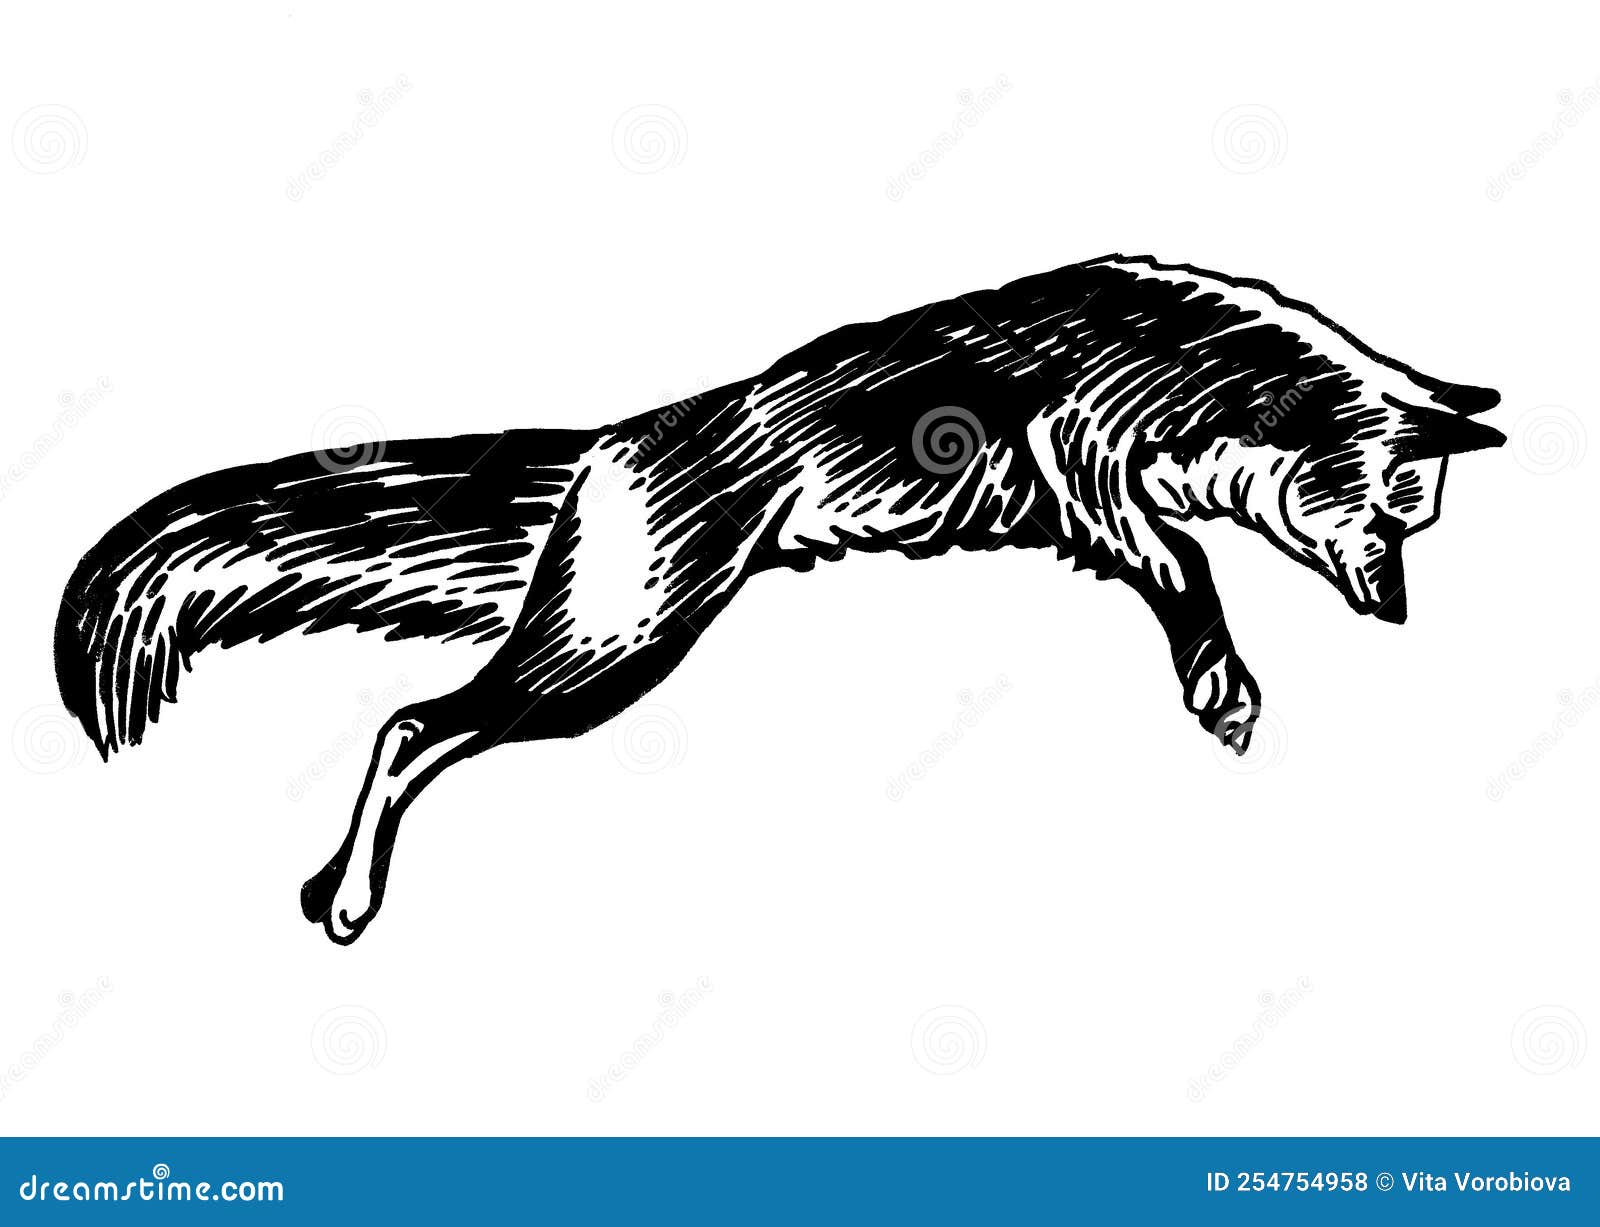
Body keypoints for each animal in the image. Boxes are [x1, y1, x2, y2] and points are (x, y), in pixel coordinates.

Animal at [54, 255, 1504, 944]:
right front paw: (1221, 683)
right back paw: (348, 898)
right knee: (413, 726)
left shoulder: (1079, 504)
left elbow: (1182, 568)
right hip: (606, 656)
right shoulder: (1077, 463)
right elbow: (1187, 569)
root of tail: (606, 444)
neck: (1204, 366)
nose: (1398, 618)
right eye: (1396, 516)